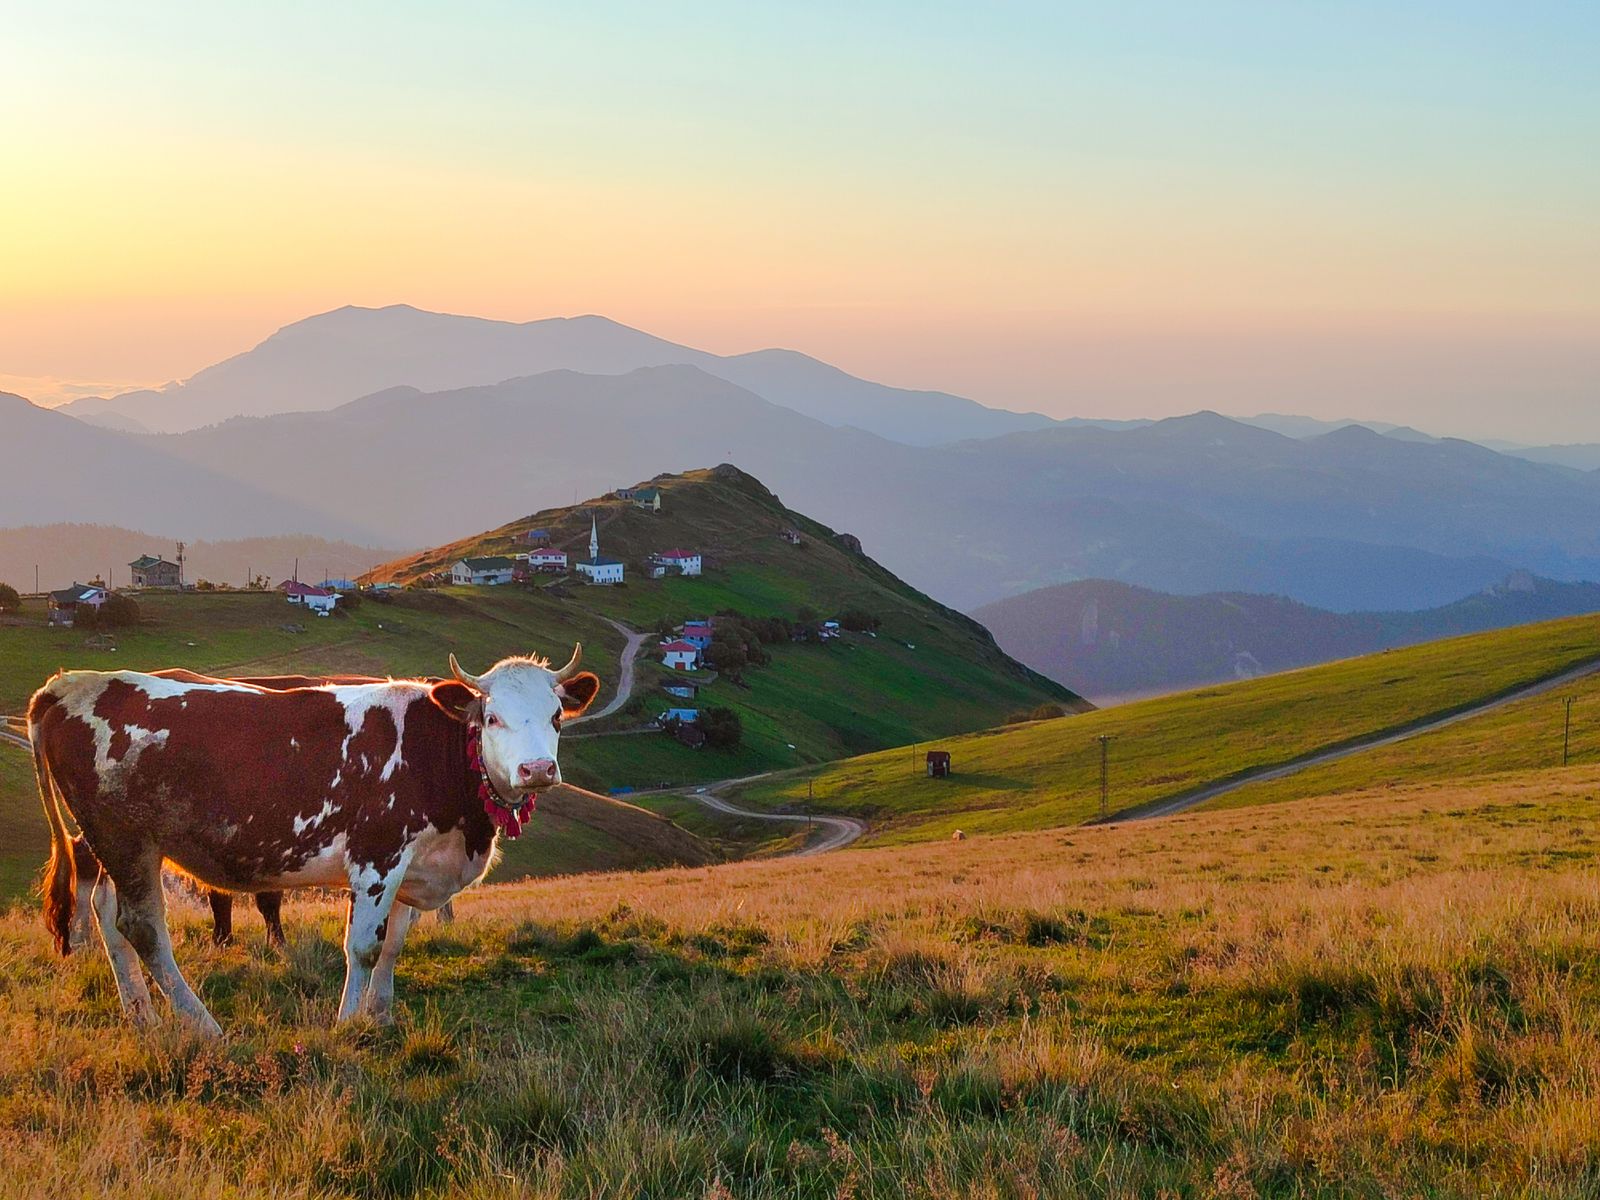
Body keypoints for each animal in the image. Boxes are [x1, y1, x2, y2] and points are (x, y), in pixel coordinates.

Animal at [31, 647, 599, 1034]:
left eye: (555, 717)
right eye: (492, 718)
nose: (537, 769)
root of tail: (68, 685)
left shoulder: (413, 866)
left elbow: (394, 944)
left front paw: (381, 1017)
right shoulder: (377, 858)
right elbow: (364, 947)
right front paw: (348, 1026)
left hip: (121, 846)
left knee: (109, 917)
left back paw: (143, 1017)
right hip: (122, 837)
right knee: (143, 928)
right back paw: (203, 1026)